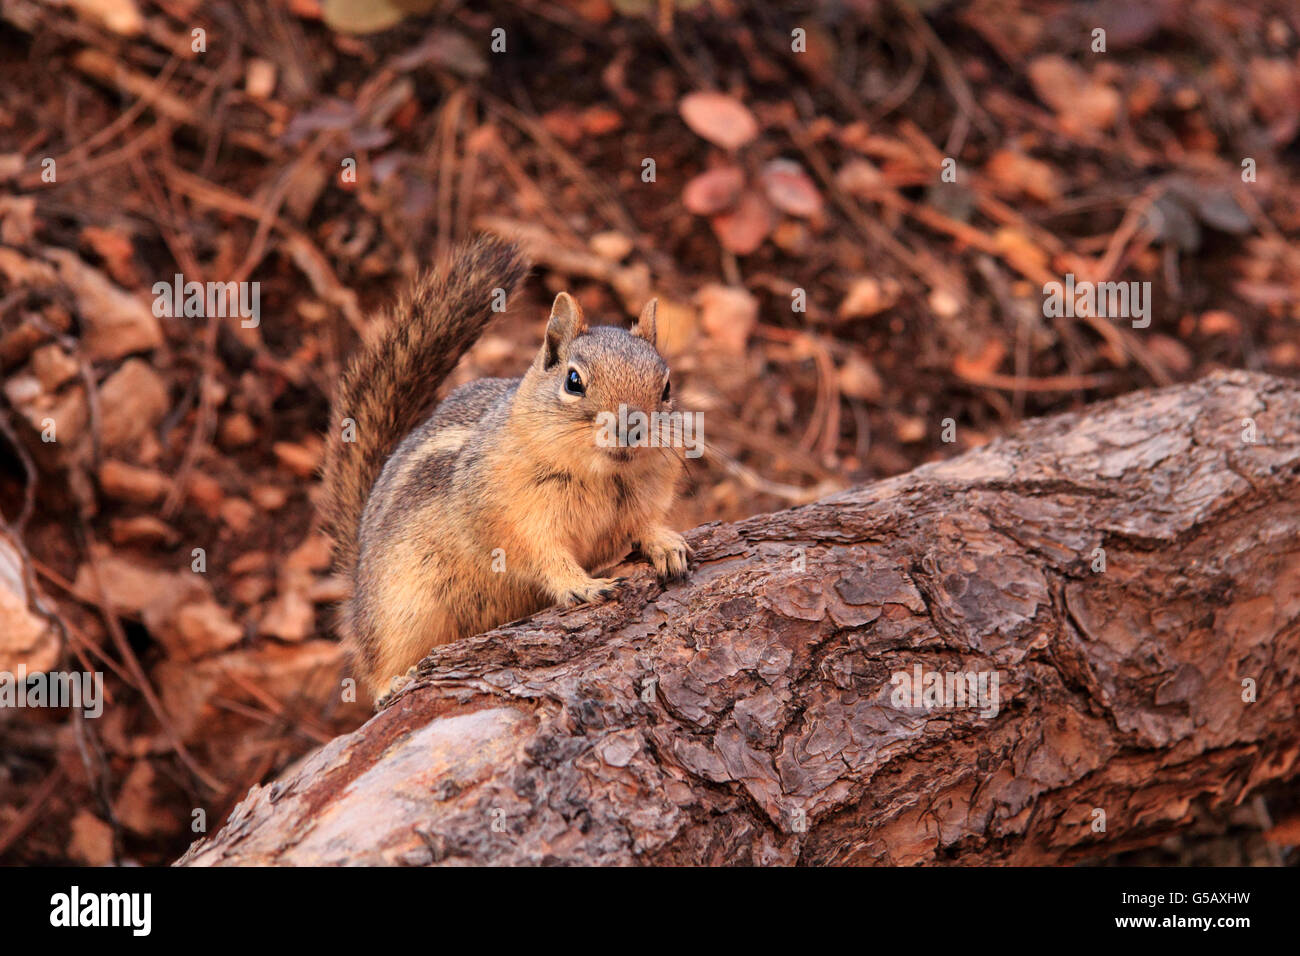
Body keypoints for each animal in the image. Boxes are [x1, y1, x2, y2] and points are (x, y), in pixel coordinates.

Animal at [321, 235, 690, 703]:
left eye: (667, 387)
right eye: (573, 381)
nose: (631, 427)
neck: (603, 477)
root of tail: (357, 583)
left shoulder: (643, 496)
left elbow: (643, 524)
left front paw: (665, 543)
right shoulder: (508, 512)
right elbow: (538, 551)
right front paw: (581, 584)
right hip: (403, 609)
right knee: (377, 661)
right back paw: (393, 683)